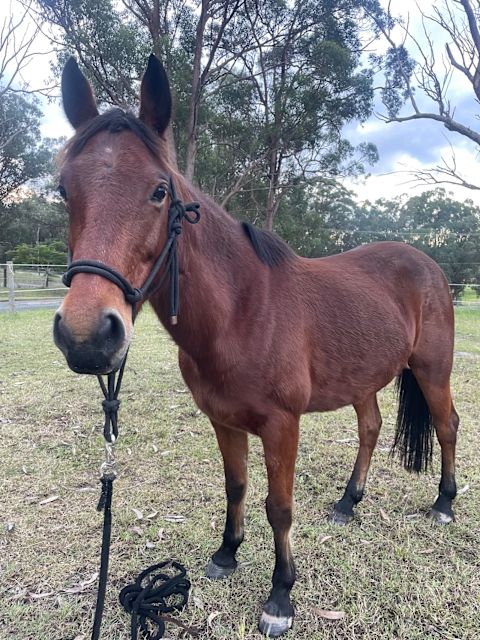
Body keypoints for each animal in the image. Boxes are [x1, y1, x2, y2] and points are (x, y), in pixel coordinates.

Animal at [53, 55, 459, 637]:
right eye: (65, 190)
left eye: (159, 191)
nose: (86, 335)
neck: (243, 313)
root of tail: (427, 262)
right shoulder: (224, 422)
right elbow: (237, 488)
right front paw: (226, 554)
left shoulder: (281, 426)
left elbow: (280, 506)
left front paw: (280, 596)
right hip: (364, 379)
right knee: (370, 429)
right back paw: (347, 503)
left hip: (432, 370)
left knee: (447, 427)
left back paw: (444, 503)